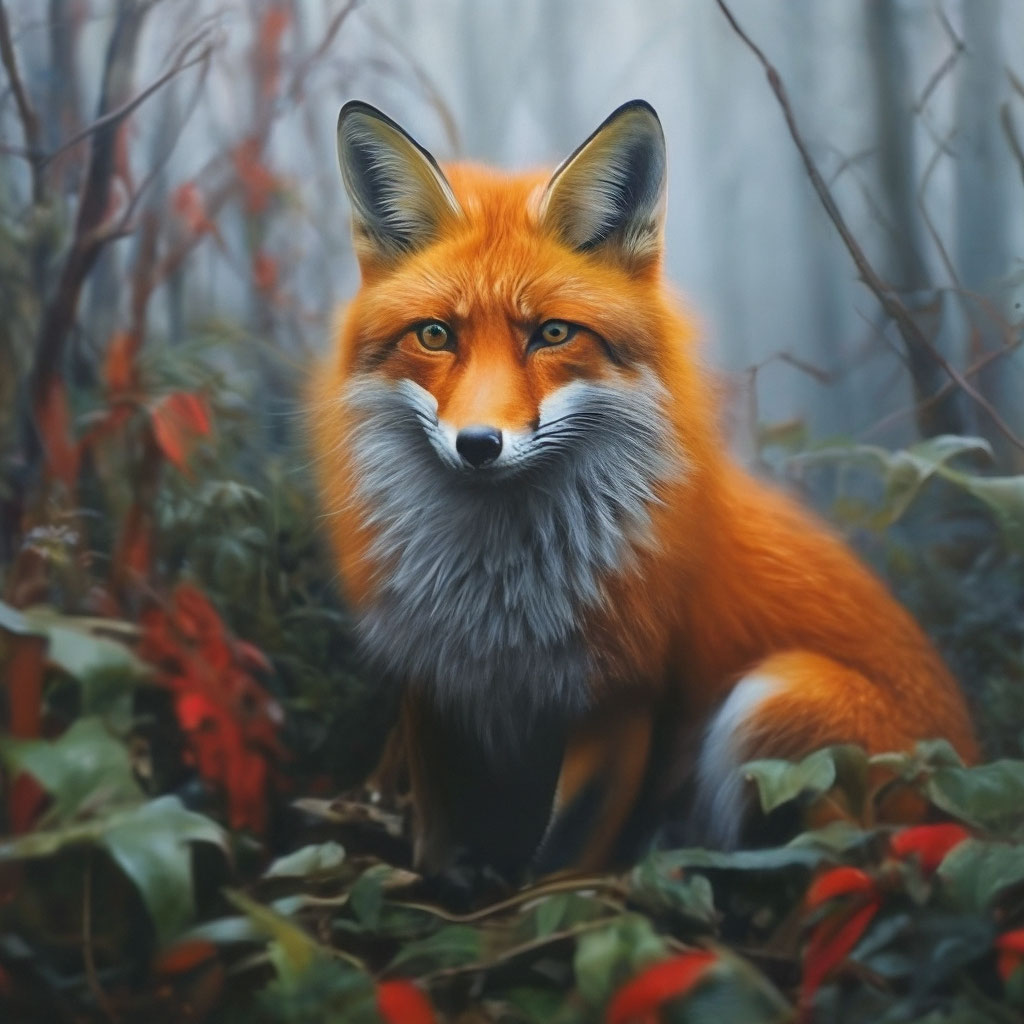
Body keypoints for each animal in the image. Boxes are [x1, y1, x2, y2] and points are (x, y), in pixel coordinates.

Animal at [309, 98, 978, 876]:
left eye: (553, 334)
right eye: (436, 336)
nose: (478, 445)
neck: (497, 601)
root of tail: (971, 768)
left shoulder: (622, 696)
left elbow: (563, 861)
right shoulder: (425, 675)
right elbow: (438, 827)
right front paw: (444, 871)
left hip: (777, 695)